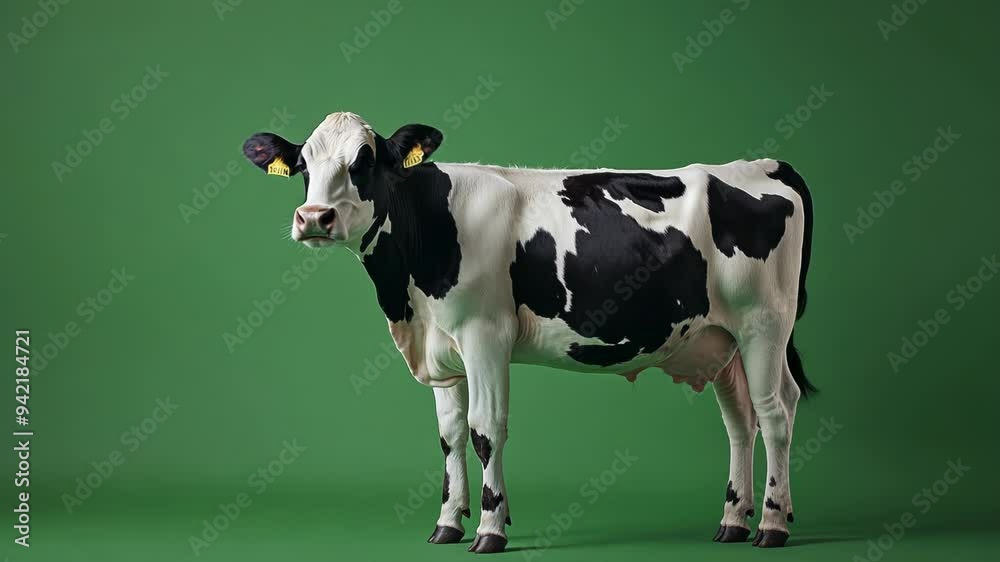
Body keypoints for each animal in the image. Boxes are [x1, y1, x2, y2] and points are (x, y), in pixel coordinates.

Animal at [242, 112, 817, 553]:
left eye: (364, 160)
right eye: (303, 165)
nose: (313, 218)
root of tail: (763, 165)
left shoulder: (484, 336)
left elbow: (485, 431)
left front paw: (490, 529)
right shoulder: (442, 351)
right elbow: (450, 436)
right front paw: (447, 524)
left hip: (764, 324)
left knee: (775, 413)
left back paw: (771, 524)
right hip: (721, 339)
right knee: (741, 420)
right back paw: (734, 521)